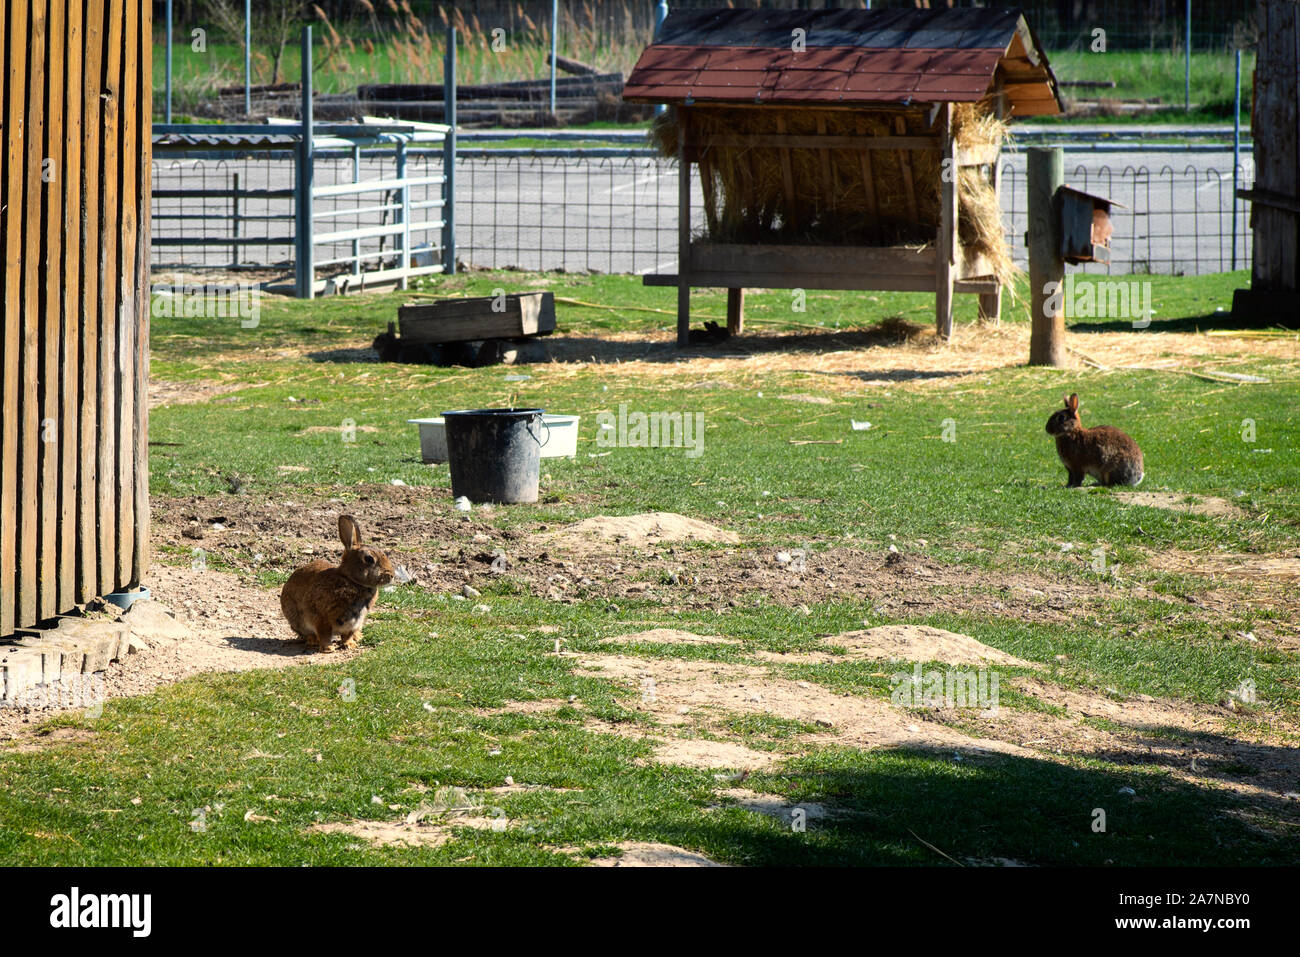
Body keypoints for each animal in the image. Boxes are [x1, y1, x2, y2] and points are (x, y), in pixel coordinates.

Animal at [280, 515, 394, 652]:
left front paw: (350, 645)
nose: (391, 575)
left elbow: (347, 635)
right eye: (369, 559)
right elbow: (324, 633)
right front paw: (328, 648)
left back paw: (358, 637)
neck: (351, 581)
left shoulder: (354, 622)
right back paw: (313, 641)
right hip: (296, 618)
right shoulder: (322, 617)